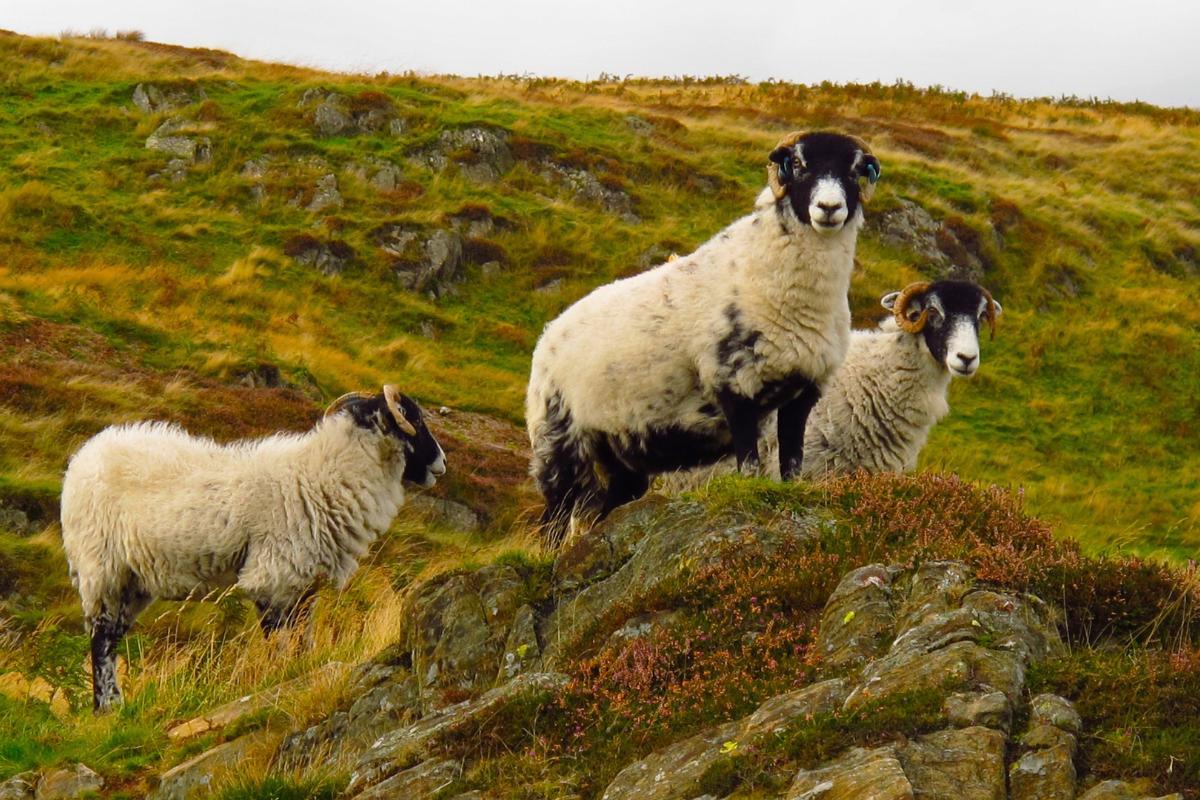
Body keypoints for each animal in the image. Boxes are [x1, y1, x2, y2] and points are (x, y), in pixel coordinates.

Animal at [60, 385, 446, 712]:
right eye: (414, 419)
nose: (441, 463)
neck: (324, 476)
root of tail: (83, 457)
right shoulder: (271, 575)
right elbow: (277, 640)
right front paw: (276, 680)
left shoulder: (303, 585)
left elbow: (303, 637)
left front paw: (300, 671)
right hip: (101, 568)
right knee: (101, 639)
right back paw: (107, 708)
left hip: (133, 580)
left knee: (112, 636)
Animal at [526, 131, 882, 545]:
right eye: (797, 164)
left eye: (855, 169)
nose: (828, 208)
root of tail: (549, 336)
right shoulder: (735, 386)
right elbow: (749, 467)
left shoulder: (804, 390)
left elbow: (792, 465)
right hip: (559, 440)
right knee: (555, 516)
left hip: (621, 449)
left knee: (612, 501)